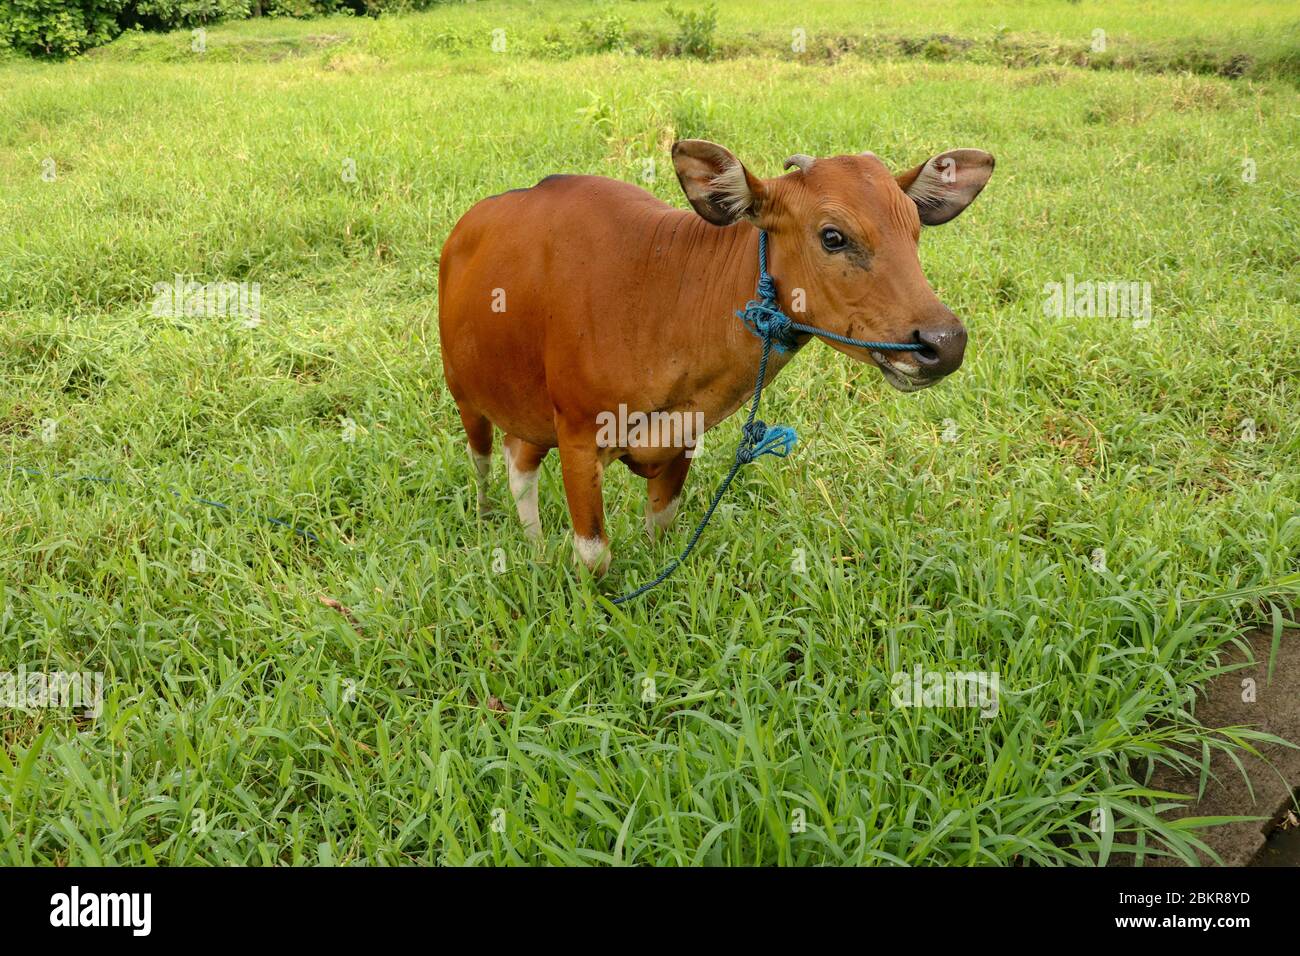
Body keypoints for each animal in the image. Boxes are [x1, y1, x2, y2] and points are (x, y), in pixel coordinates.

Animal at [438, 140, 994, 574]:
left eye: (915, 232)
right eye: (833, 236)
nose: (944, 341)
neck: (662, 294)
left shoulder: (682, 437)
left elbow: (661, 533)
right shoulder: (577, 434)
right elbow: (595, 556)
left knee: (519, 457)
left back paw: (535, 549)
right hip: (465, 393)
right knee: (484, 459)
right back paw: (489, 523)